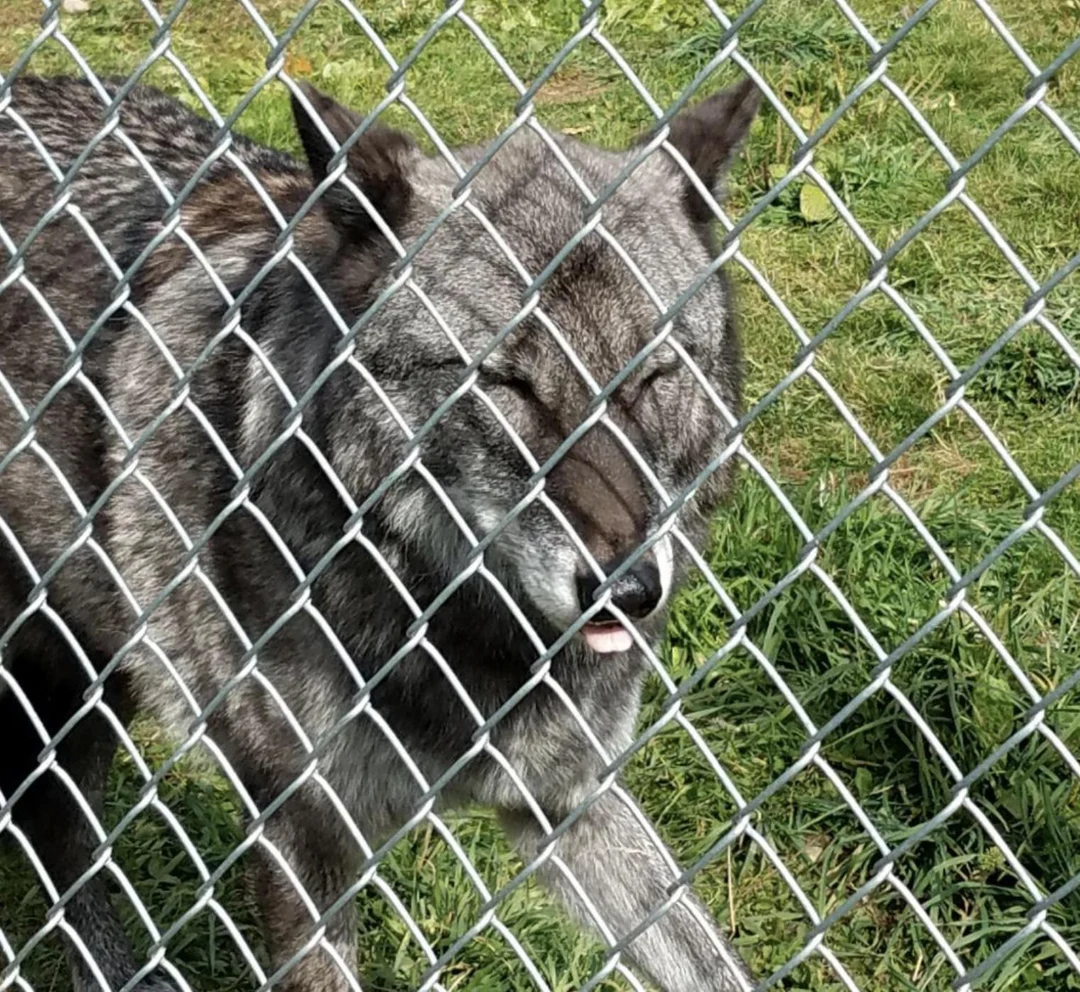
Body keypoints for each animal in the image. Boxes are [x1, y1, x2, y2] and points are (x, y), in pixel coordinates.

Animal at [0, 70, 760, 992]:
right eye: (506, 382)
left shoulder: (567, 802)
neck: (459, 637)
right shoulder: (305, 831)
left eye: (654, 376)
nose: (629, 591)